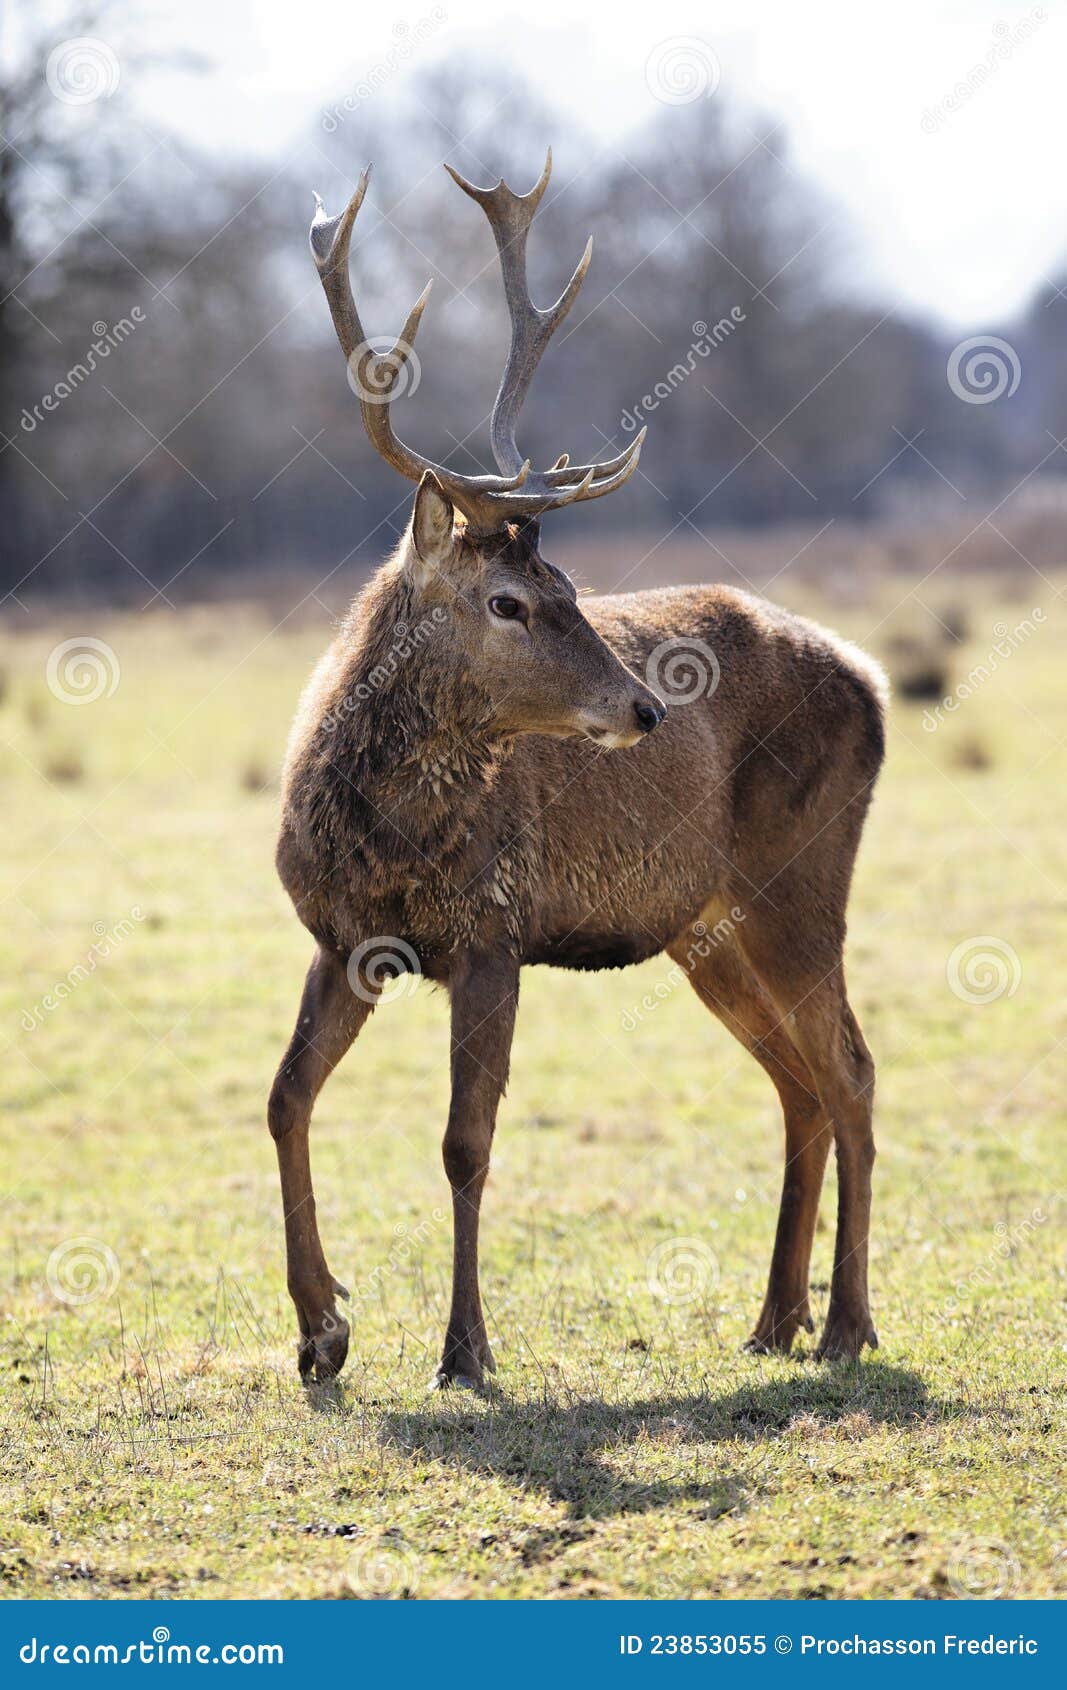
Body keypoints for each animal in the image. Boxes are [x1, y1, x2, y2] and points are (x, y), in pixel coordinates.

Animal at [269, 151, 887, 1391]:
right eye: (508, 599)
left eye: (569, 588)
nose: (644, 706)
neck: (384, 840)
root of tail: (875, 679)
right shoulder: (340, 937)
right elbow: (285, 1100)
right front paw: (320, 1332)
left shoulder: (492, 931)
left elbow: (463, 1143)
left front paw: (462, 1350)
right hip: (706, 927)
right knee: (796, 1084)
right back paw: (772, 1319)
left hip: (802, 884)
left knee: (849, 1070)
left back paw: (847, 1322)